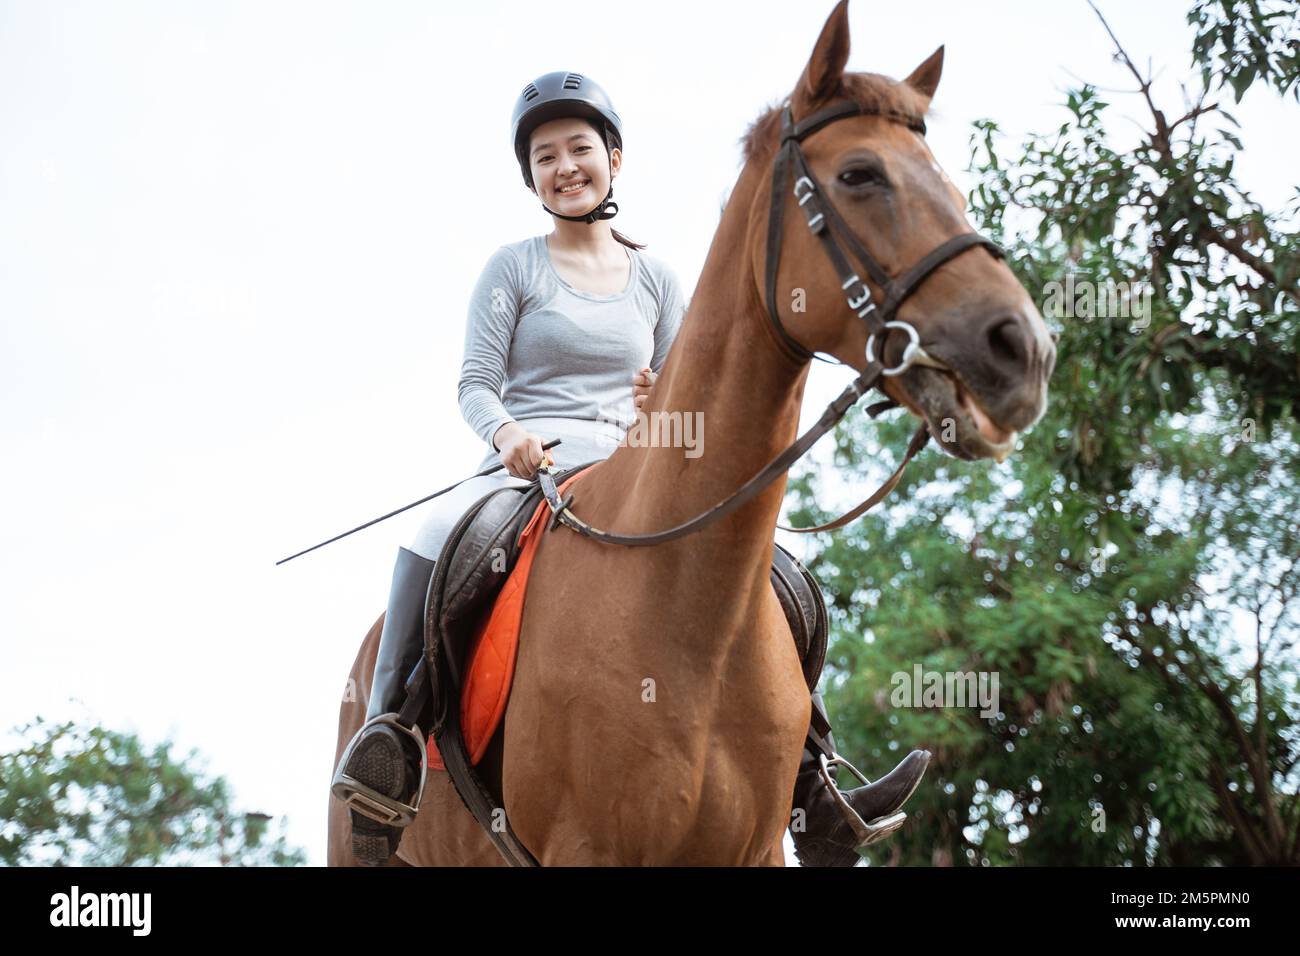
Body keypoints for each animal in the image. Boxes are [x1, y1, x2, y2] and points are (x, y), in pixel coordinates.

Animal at [328, 0, 1056, 866]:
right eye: (860, 175)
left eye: (953, 184)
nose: (1024, 351)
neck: (687, 611)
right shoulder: (586, 850)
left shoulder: (756, 849)